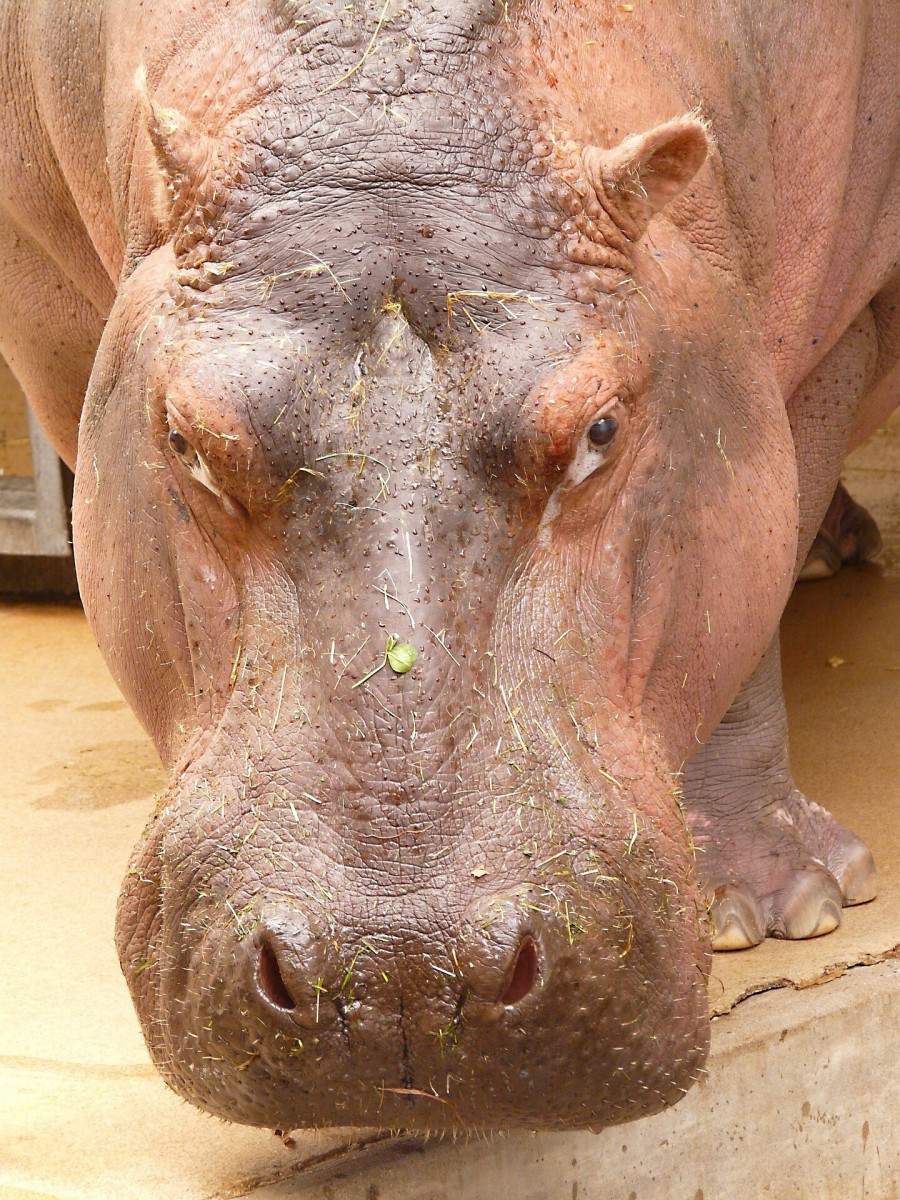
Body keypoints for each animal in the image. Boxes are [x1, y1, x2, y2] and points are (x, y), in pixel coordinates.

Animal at [1, 0, 897, 1134]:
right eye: (185, 438)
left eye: (602, 427)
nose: (401, 974)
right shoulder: (48, 316)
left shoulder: (828, 337)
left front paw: (774, 909)